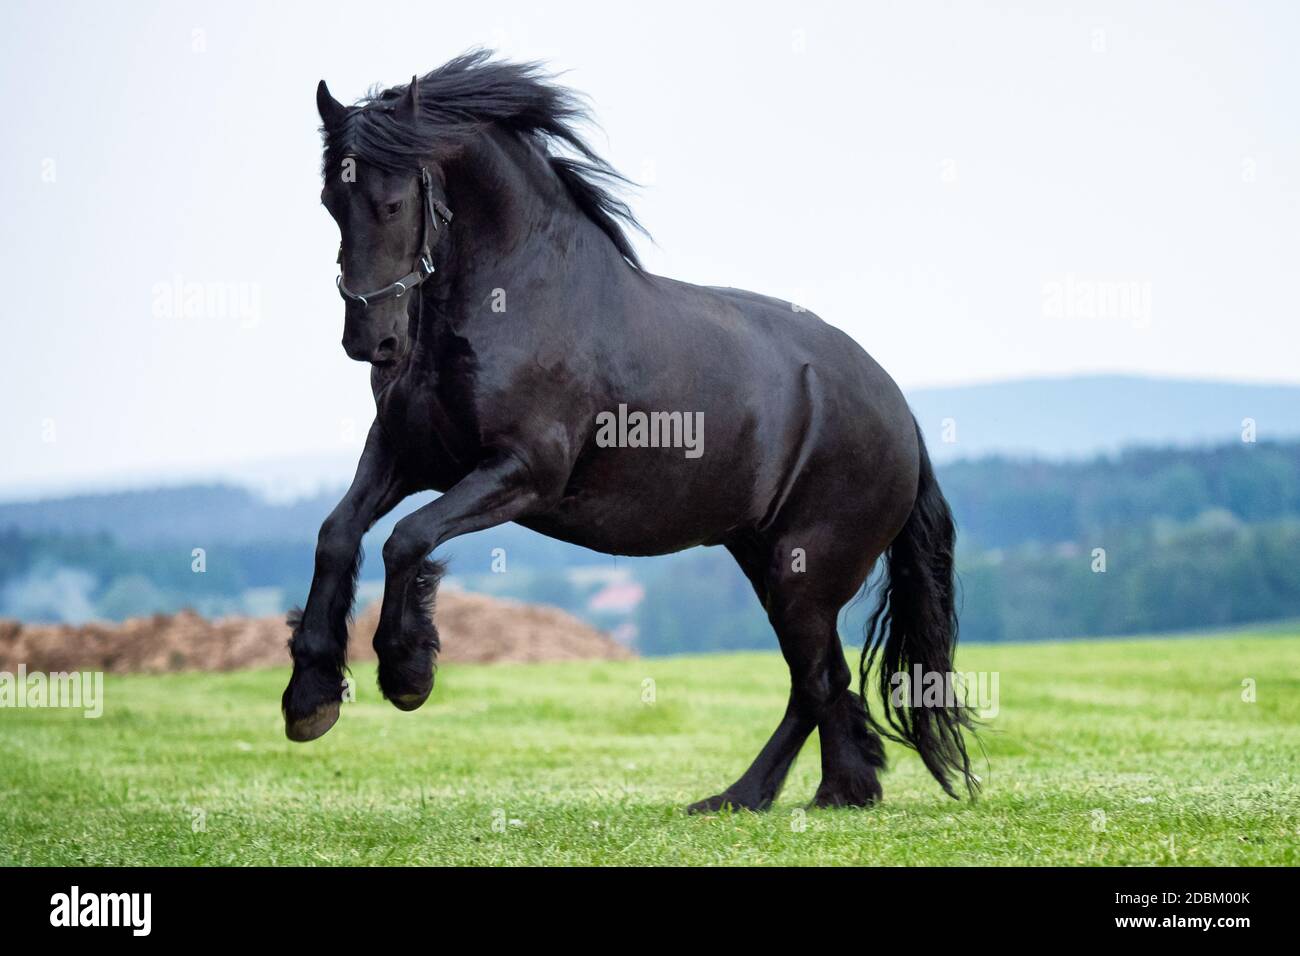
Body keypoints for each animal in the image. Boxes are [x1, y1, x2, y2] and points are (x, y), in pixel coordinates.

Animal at [283, 51, 978, 810]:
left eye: (393, 204)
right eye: (331, 203)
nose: (370, 343)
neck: (512, 300)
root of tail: (899, 411)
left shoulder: (521, 473)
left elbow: (407, 539)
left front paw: (408, 672)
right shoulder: (405, 457)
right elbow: (336, 534)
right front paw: (310, 698)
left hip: (805, 569)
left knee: (817, 679)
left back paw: (768, 796)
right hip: (764, 558)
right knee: (823, 680)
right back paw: (811, 793)